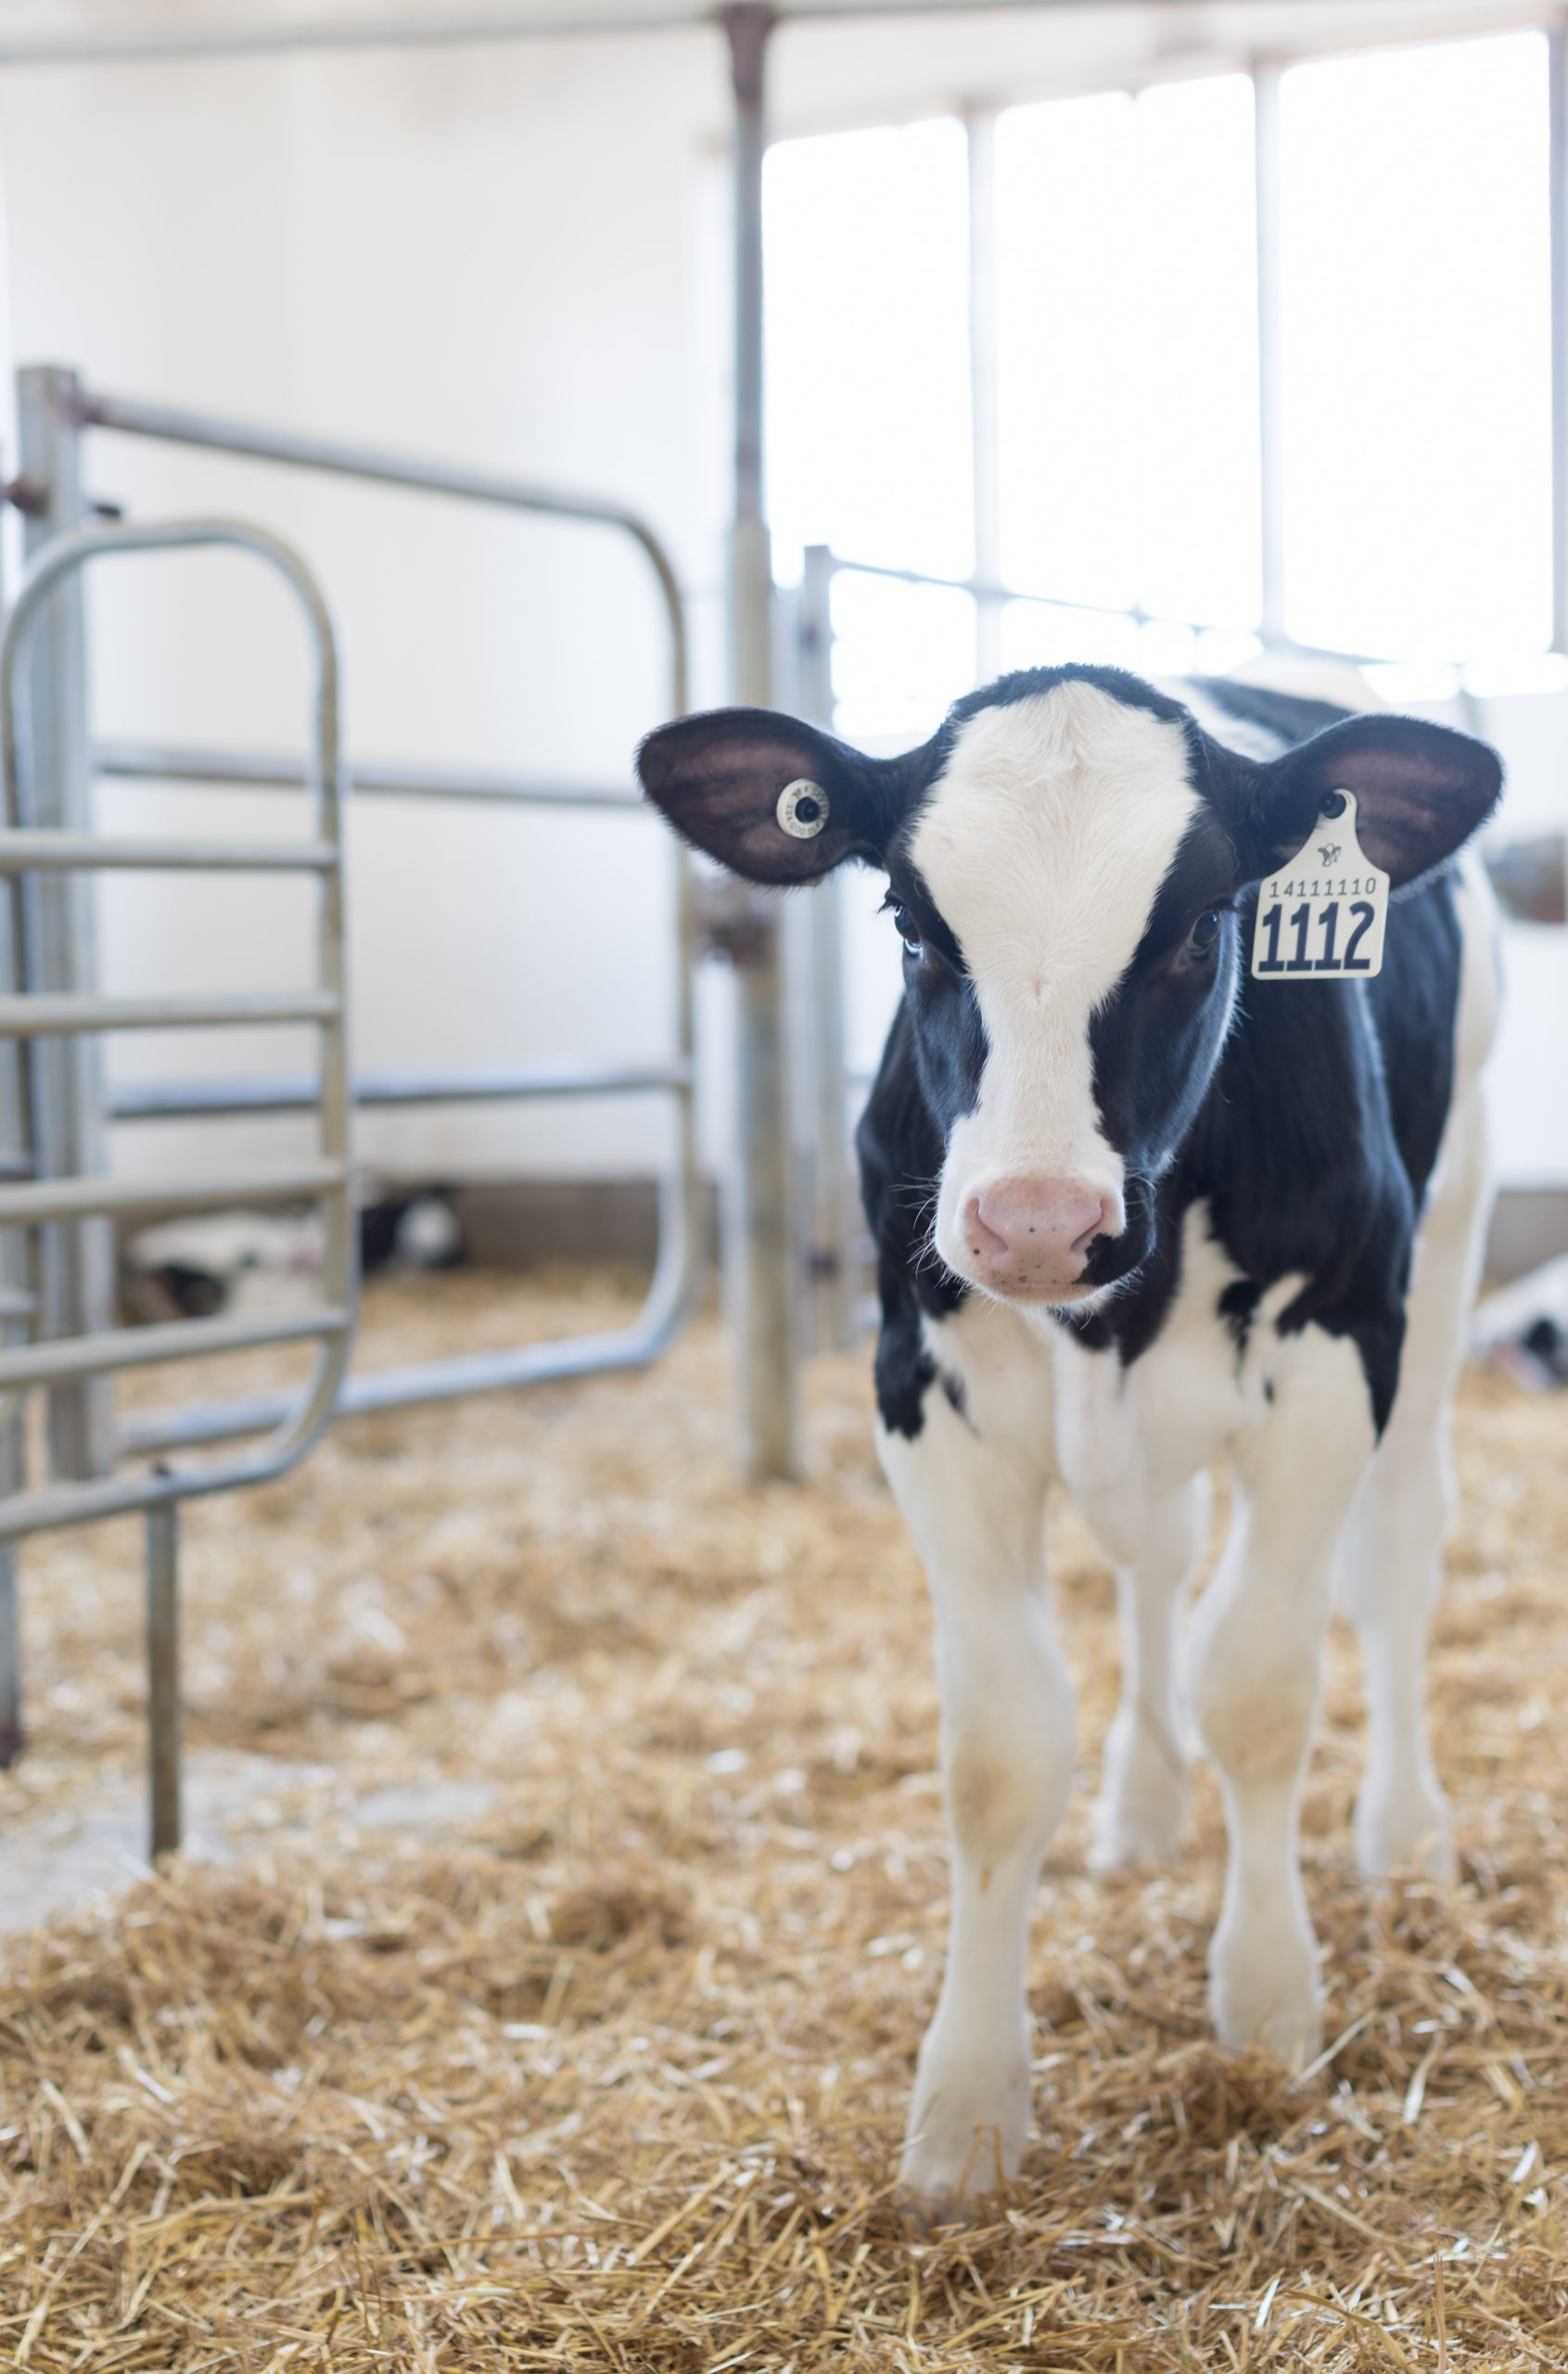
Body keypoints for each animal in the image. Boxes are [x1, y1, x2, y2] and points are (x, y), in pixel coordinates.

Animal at [637, 663, 1502, 2220]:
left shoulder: (1335, 1356)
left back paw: (1402, 1831)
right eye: (909, 926)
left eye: (1202, 928)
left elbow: (1259, 1687)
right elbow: (997, 1750)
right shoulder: (921, 1390)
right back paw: (1143, 1804)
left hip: (1449, 1236)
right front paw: (965, 2110)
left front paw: (1265, 2004)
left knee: (1395, 1553)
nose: (1034, 1223)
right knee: (1153, 1558)